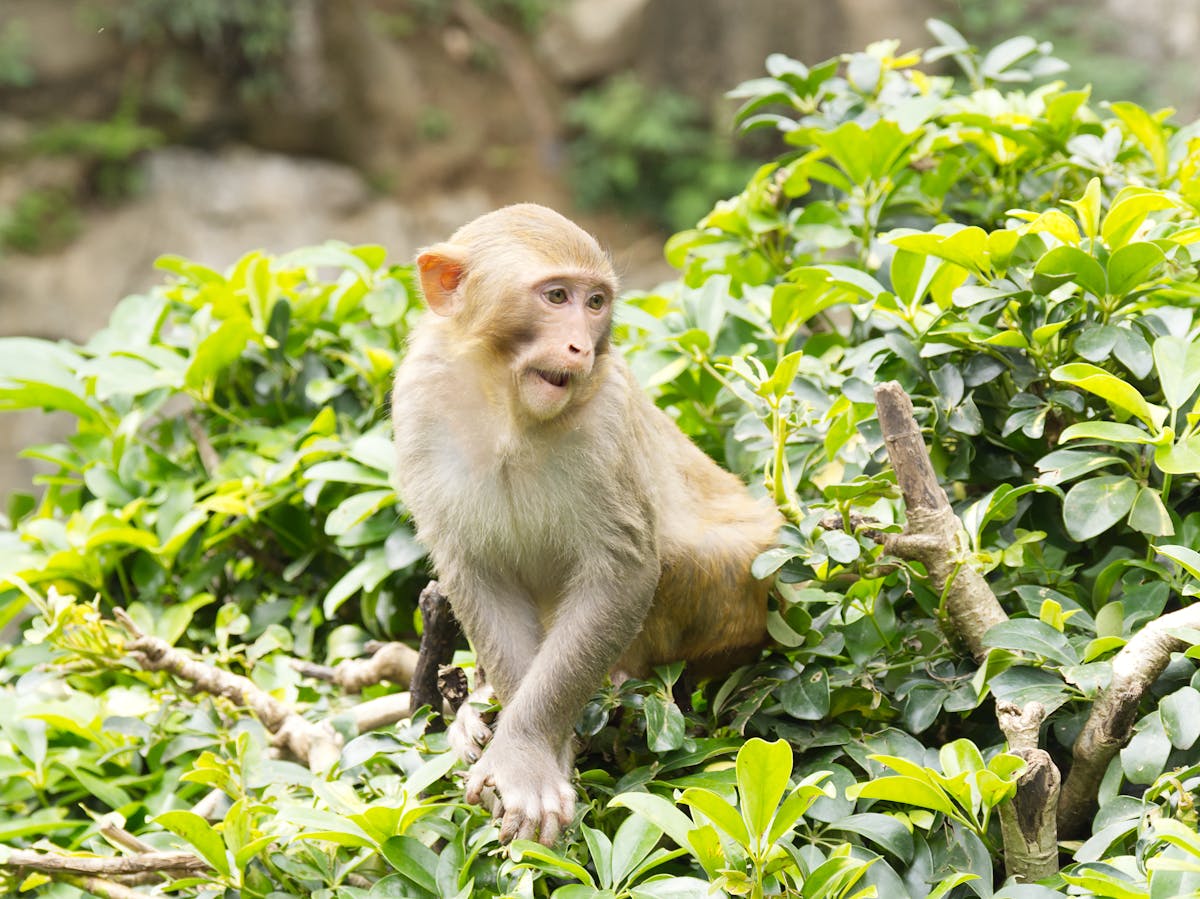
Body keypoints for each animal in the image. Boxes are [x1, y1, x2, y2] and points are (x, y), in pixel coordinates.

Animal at [391, 204, 782, 846]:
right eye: (556, 296)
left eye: (595, 302)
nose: (579, 346)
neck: (505, 404)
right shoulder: (419, 399)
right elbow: (473, 568)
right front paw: (526, 747)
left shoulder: (607, 413)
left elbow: (623, 572)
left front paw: (528, 753)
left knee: (685, 557)